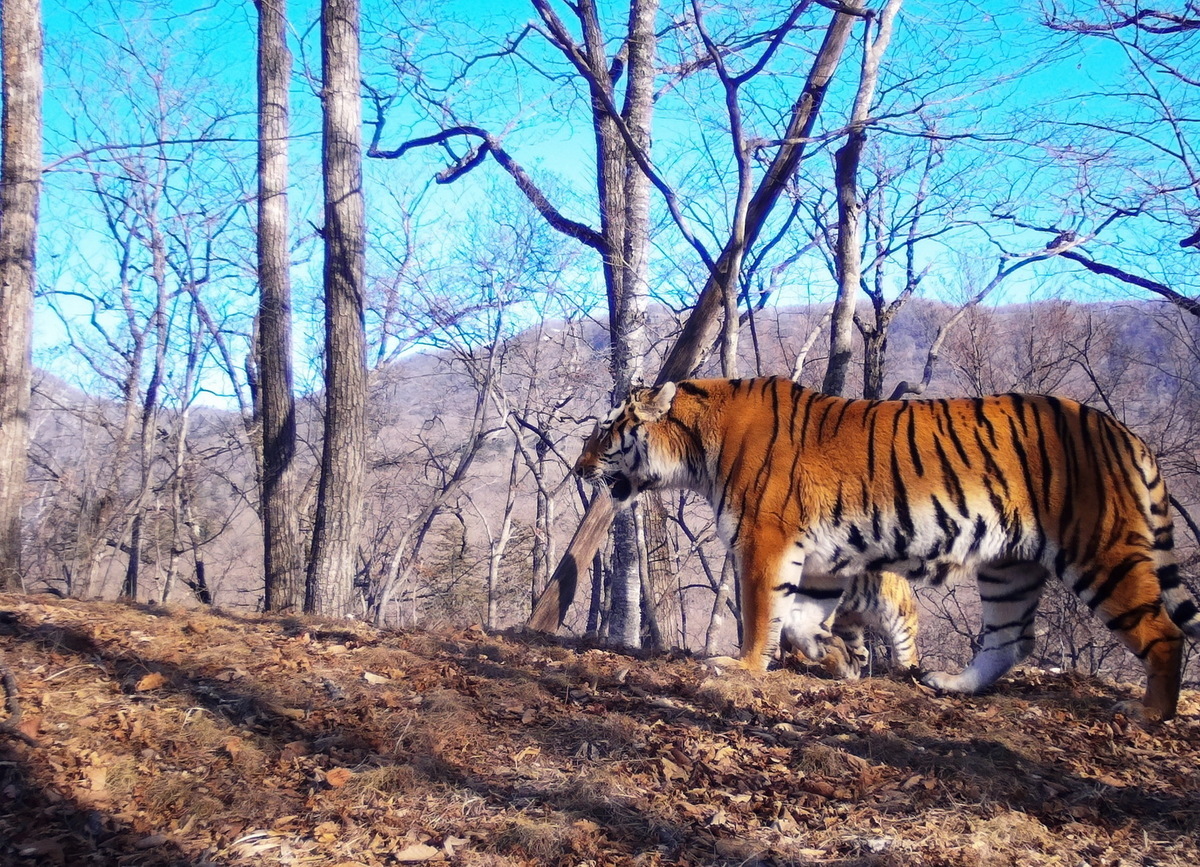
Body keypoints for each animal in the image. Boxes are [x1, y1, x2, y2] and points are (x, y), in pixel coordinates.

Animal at [573, 374, 1200, 720]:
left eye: (603, 434)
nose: (579, 470)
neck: (695, 448)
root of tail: (1124, 431)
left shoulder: (763, 538)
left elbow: (761, 611)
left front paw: (743, 666)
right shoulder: (818, 559)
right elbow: (800, 618)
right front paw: (835, 657)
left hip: (1099, 552)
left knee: (1165, 633)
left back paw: (1148, 714)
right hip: (1009, 567)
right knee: (1011, 639)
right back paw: (952, 684)